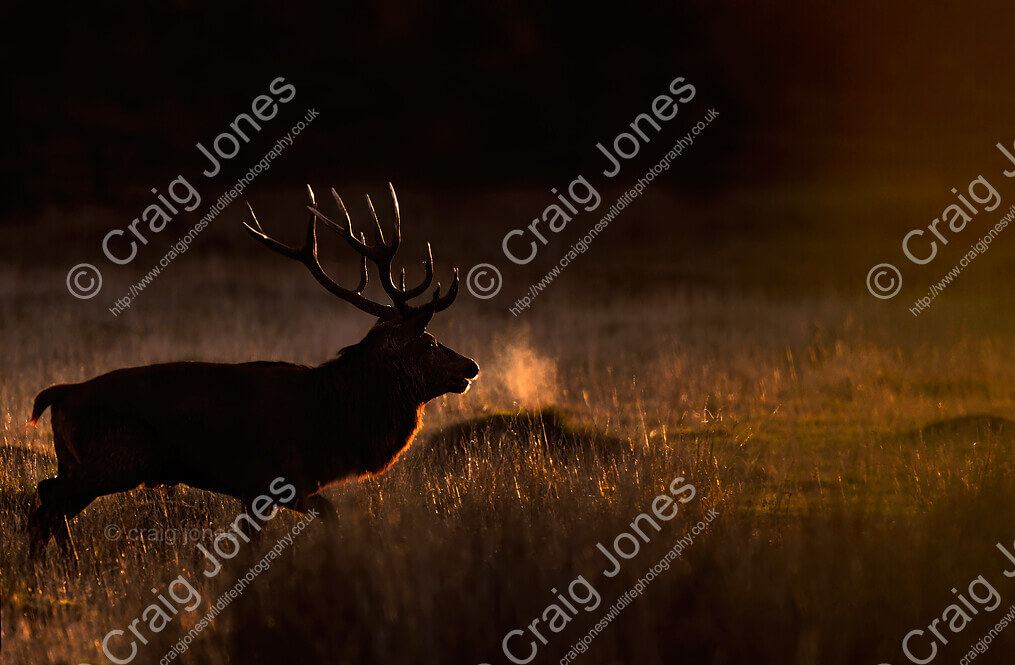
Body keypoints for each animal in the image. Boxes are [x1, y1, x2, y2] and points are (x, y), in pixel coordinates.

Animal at [27, 185, 479, 557]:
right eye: (429, 342)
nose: (471, 366)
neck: (332, 425)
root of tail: (61, 393)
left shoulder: (255, 489)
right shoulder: (277, 479)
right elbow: (326, 519)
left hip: (79, 460)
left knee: (50, 504)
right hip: (118, 457)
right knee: (48, 499)